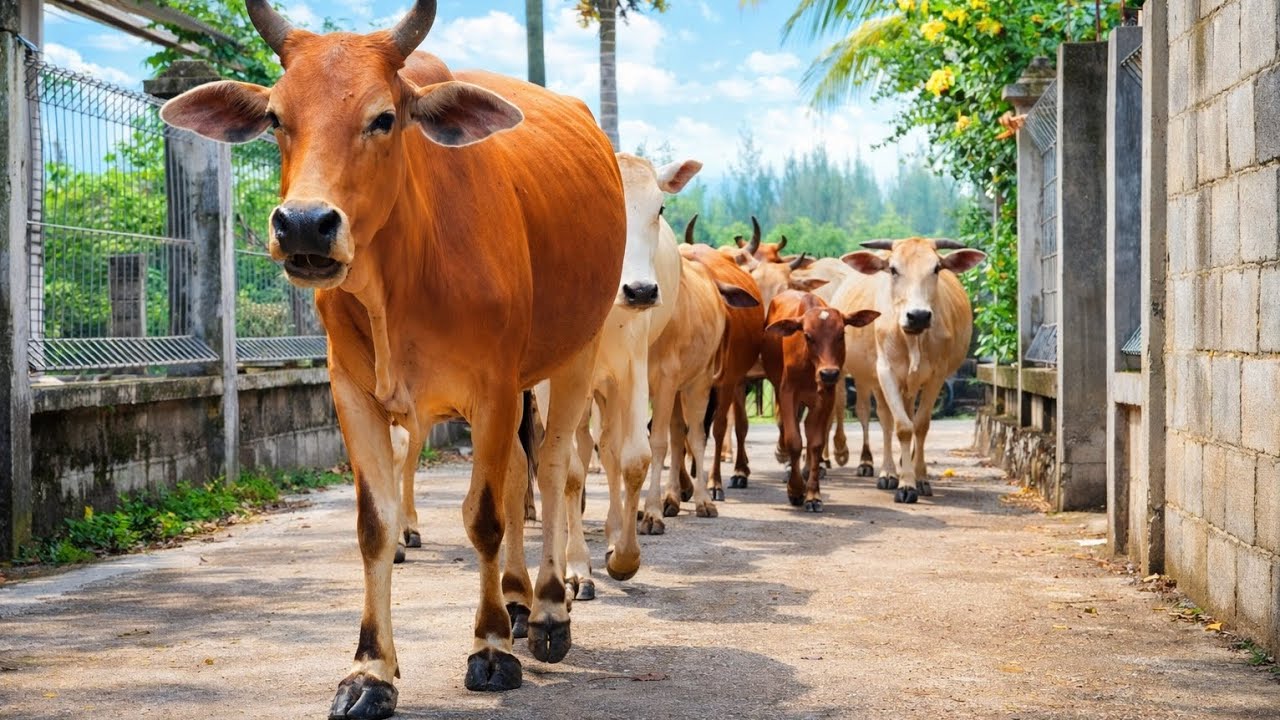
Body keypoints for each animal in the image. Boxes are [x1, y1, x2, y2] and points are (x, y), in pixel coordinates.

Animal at [160, 2, 626, 716]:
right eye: (276, 117)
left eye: (383, 117)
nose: (304, 225)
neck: (404, 275)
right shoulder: (353, 395)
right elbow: (376, 527)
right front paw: (370, 672)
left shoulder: (493, 388)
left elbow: (484, 517)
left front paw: (490, 650)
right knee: (520, 474)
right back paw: (518, 600)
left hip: (574, 354)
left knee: (551, 471)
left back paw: (547, 611)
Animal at [761, 290, 879, 511]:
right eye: (808, 336)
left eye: (841, 334)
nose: (829, 373)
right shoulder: (788, 392)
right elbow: (794, 440)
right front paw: (795, 490)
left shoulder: (826, 397)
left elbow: (815, 443)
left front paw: (813, 495)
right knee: (786, 427)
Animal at [841, 238, 986, 503]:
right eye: (893, 269)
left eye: (936, 268)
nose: (918, 316)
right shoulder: (886, 373)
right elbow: (902, 426)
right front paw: (904, 484)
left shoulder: (937, 377)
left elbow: (920, 425)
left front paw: (919, 478)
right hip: (874, 381)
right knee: (885, 421)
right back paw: (887, 471)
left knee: (910, 414)